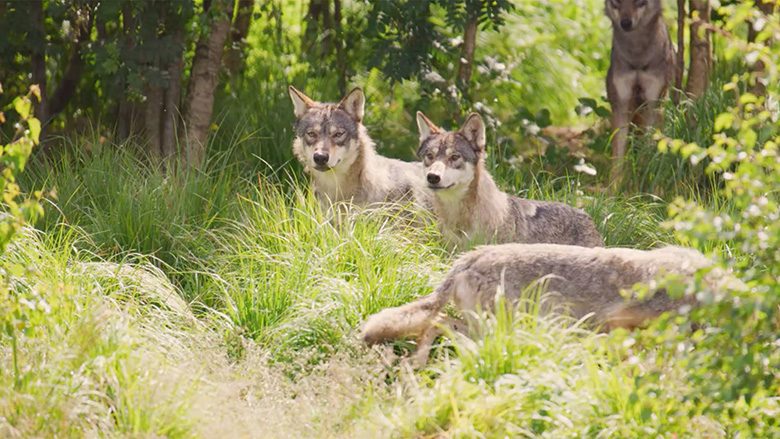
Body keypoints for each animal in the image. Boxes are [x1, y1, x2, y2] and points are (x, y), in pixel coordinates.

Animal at [361, 244, 737, 366]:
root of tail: (471, 256)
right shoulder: (620, 325)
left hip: (485, 328)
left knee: (436, 325)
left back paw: (418, 363)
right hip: (496, 329)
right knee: (438, 325)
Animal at [605, 0, 676, 177]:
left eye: (639, 1)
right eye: (617, 2)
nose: (625, 23)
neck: (636, 56)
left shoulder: (652, 104)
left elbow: (647, 150)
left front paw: (644, 178)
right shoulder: (621, 106)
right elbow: (617, 158)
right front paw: (615, 185)